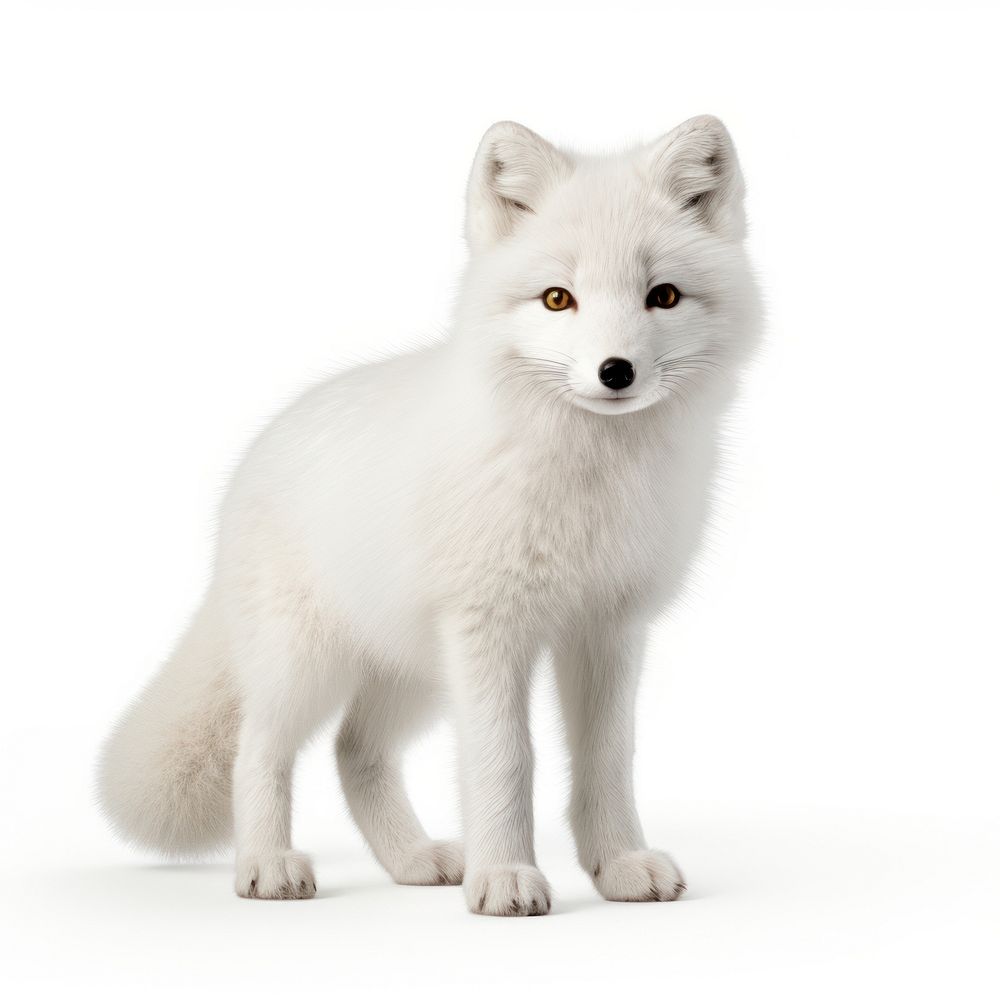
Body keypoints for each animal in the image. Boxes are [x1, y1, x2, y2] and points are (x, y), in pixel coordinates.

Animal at [98, 115, 761, 916]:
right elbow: (506, 758)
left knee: (354, 751)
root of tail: (258, 451)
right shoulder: (487, 627)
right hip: (309, 664)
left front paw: (618, 864)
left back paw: (413, 860)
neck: (588, 477)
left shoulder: (607, 626)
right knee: (259, 748)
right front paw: (504, 877)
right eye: (558, 299)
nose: (615, 372)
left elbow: (607, 757)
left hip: (410, 672)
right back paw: (266, 866)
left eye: (663, 295)